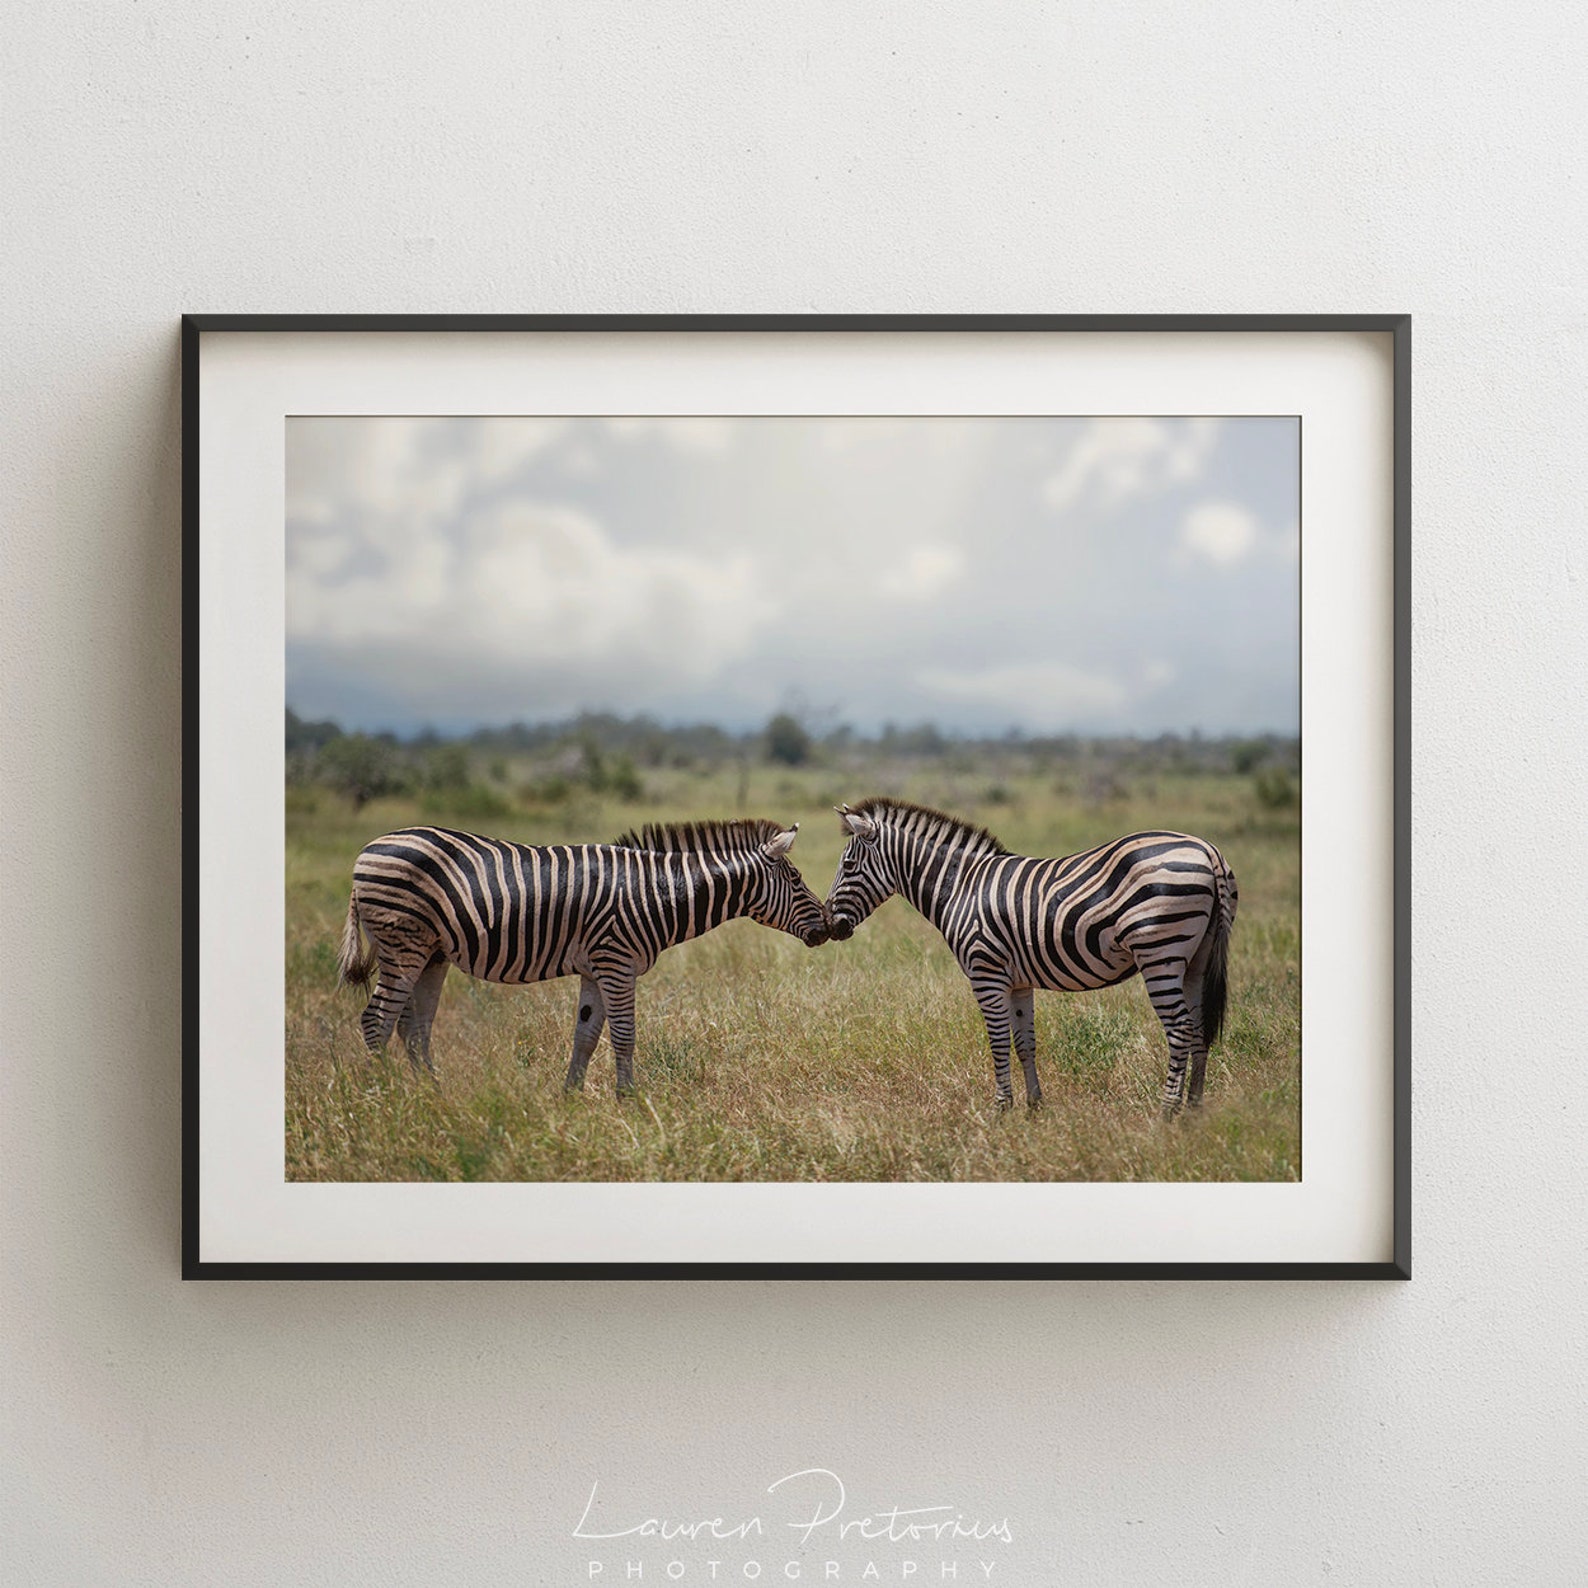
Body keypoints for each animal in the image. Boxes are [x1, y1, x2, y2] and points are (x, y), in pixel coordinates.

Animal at [336, 819, 830, 1095]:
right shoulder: (617, 963)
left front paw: (570, 1099)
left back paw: (431, 1096)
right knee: (377, 1021)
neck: (657, 893)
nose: (831, 927)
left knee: (412, 1027)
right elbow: (625, 1036)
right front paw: (630, 1102)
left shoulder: (597, 969)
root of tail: (366, 851)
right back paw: (385, 1098)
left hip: (430, 953)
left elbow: (586, 1037)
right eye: (797, 880)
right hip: (403, 943)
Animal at [823, 800, 1237, 1115]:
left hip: (1159, 952)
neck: (961, 886)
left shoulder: (986, 972)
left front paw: (1000, 1109)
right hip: (1197, 959)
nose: (829, 925)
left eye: (847, 867)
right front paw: (1034, 1107)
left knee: (1180, 1029)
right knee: (1198, 1028)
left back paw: (1167, 1111)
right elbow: (1025, 1043)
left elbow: (997, 1042)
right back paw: (1193, 1108)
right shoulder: (1018, 981)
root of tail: (1208, 851)